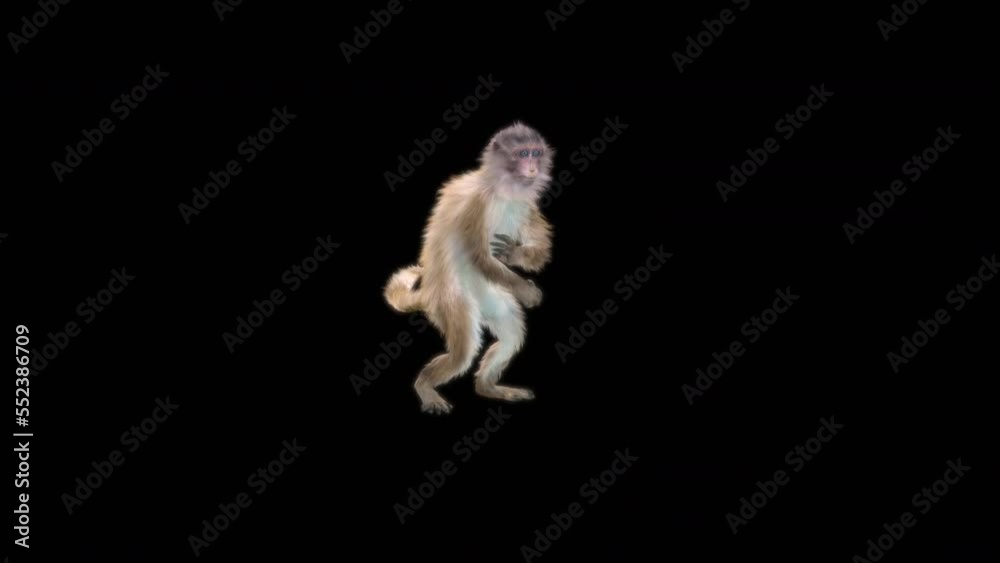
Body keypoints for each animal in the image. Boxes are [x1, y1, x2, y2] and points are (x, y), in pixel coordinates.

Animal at [384, 122, 555, 414]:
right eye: (522, 154)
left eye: (534, 152)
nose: (532, 167)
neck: (500, 188)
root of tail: (429, 290)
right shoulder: (477, 203)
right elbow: (479, 257)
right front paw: (528, 291)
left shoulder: (524, 202)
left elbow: (539, 250)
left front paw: (513, 254)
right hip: (450, 300)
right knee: (463, 350)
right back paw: (425, 386)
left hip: (488, 297)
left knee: (511, 332)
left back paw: (487, 388)